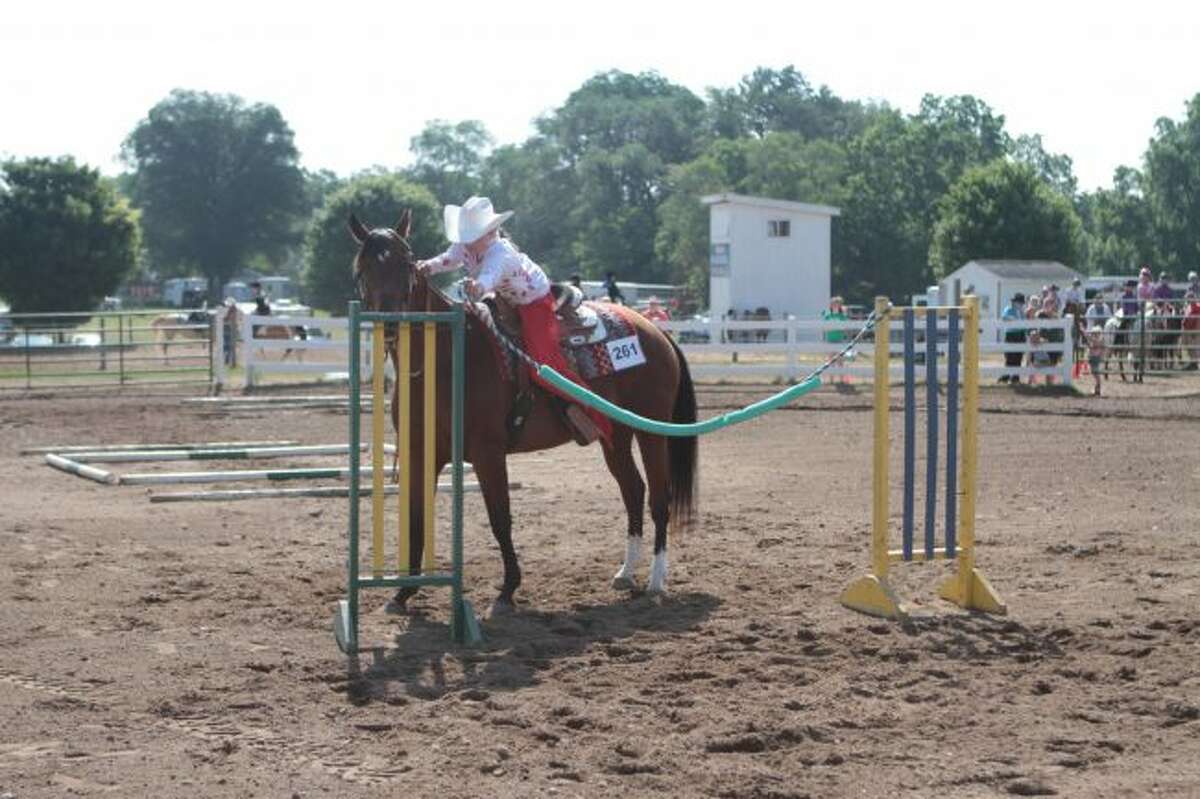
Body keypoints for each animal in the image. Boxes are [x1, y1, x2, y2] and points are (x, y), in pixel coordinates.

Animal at [348, 209, 698, 615]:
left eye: (406, 264)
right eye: (362, 268)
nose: (389, 321)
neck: (447, 358)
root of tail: (655, 331)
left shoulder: (488, 453)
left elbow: (500, 518)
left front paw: (507, 590)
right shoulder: (420, 453)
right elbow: (417, 517)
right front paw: (403, 592)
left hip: (652, 432)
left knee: (659, 497)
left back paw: (656, 581)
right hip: (616, 436)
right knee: (633, 490)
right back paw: (626, 573)